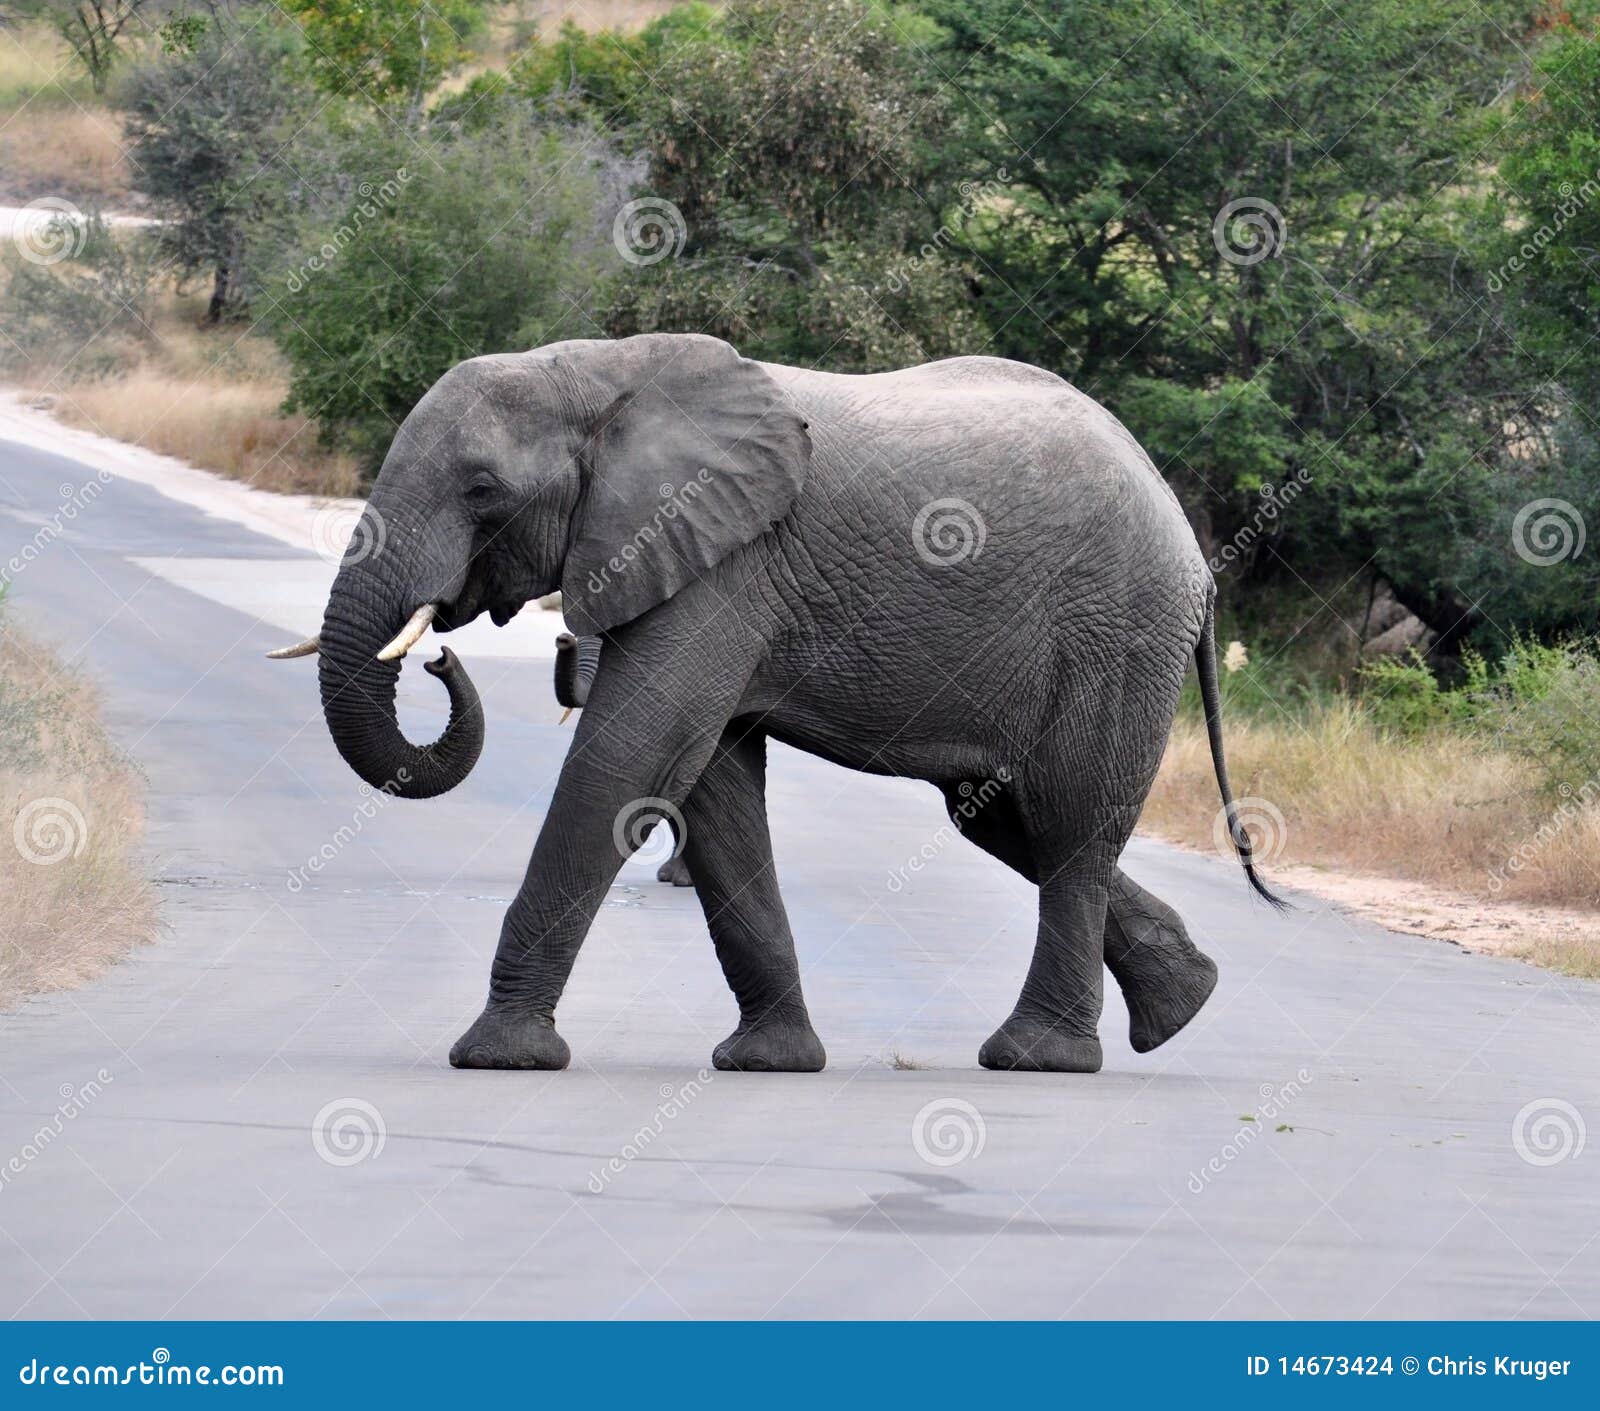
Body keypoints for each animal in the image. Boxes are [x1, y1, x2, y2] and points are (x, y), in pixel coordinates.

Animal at [270, 333, 1279, 1074]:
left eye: (481, 489)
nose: (440, 654)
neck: (592, 372)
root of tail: (1189, 540)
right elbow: (710, 787)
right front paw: (768, 1062)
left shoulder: (721, 565)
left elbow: (628, 759)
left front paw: (498, 1056)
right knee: (1007, 818)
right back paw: (1186, 1003)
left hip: (1115, 631)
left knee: (1067, 822)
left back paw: (1037, 1058)